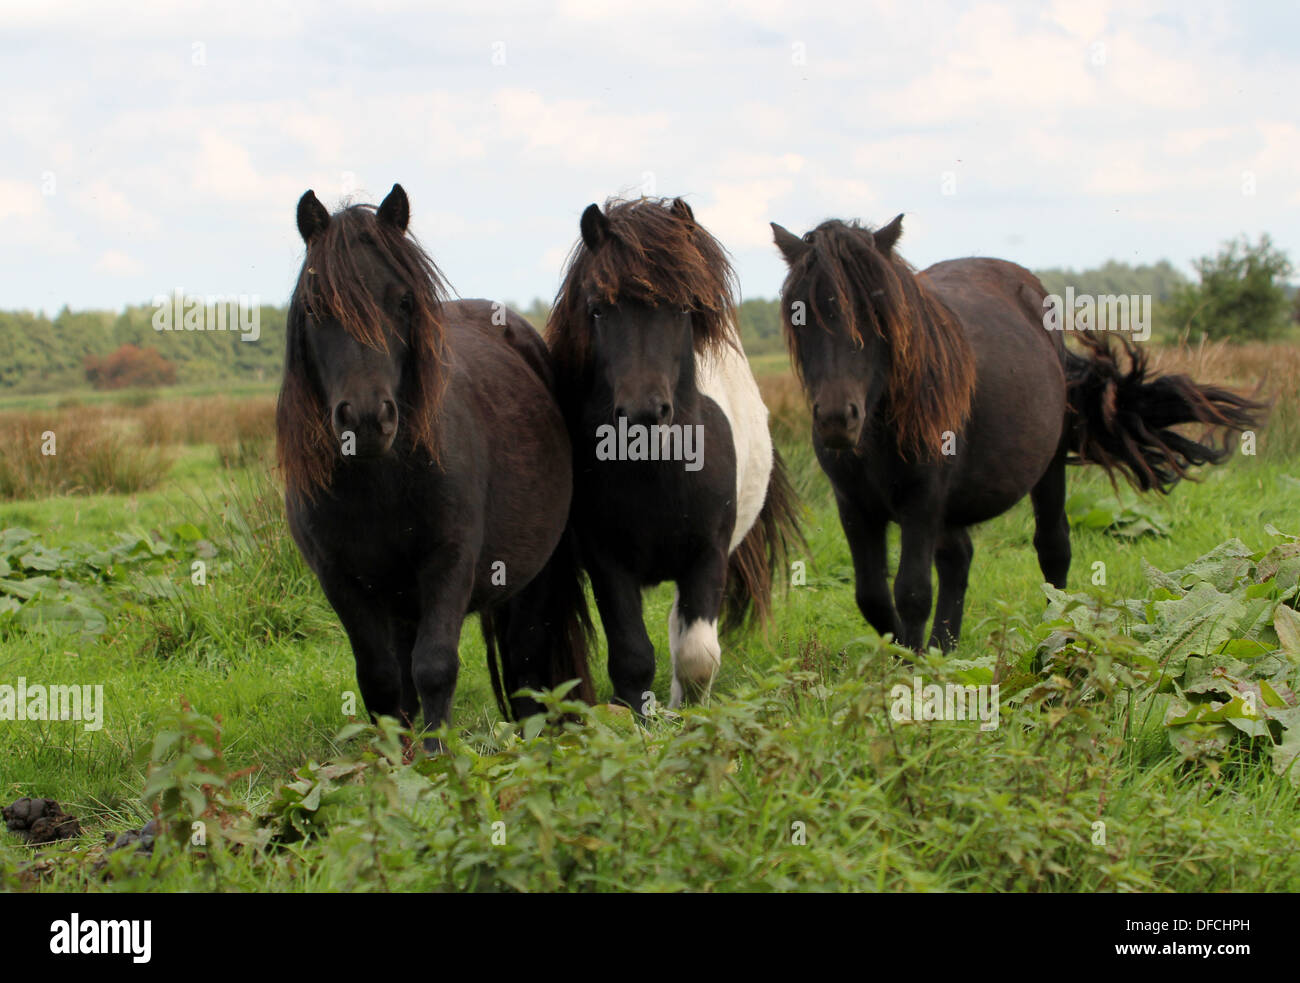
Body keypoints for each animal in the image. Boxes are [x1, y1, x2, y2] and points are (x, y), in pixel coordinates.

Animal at [276, 183, 594, 749]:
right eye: (315, 306)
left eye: (402, 301)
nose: (366, 418)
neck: (378, 480)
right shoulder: (340, 580)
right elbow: (381, 681)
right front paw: (390, 760)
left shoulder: (449, 561)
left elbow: (435, 668)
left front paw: (436, 758)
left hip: (534, 575)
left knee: (527, 661)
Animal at [547, 196, 802, 710]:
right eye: (598, 310)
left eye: (683, 307)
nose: (644, 412)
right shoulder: (607, 559)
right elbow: (632, 655)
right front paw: (636, 718)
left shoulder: (709, 554)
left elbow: (697, 654)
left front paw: (691, 716)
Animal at [770, 215, 1266, 652]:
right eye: (799, 315)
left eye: (878, 311)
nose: (837, 417)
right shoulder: (854, 506)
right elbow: (872, 596)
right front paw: (907, 657)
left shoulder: (922, 501)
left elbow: (911, 591)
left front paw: (911, 671)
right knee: (958, 558)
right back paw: (945, 648)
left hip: (1047, 469)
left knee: (1053, 547)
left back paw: (1055, 630)